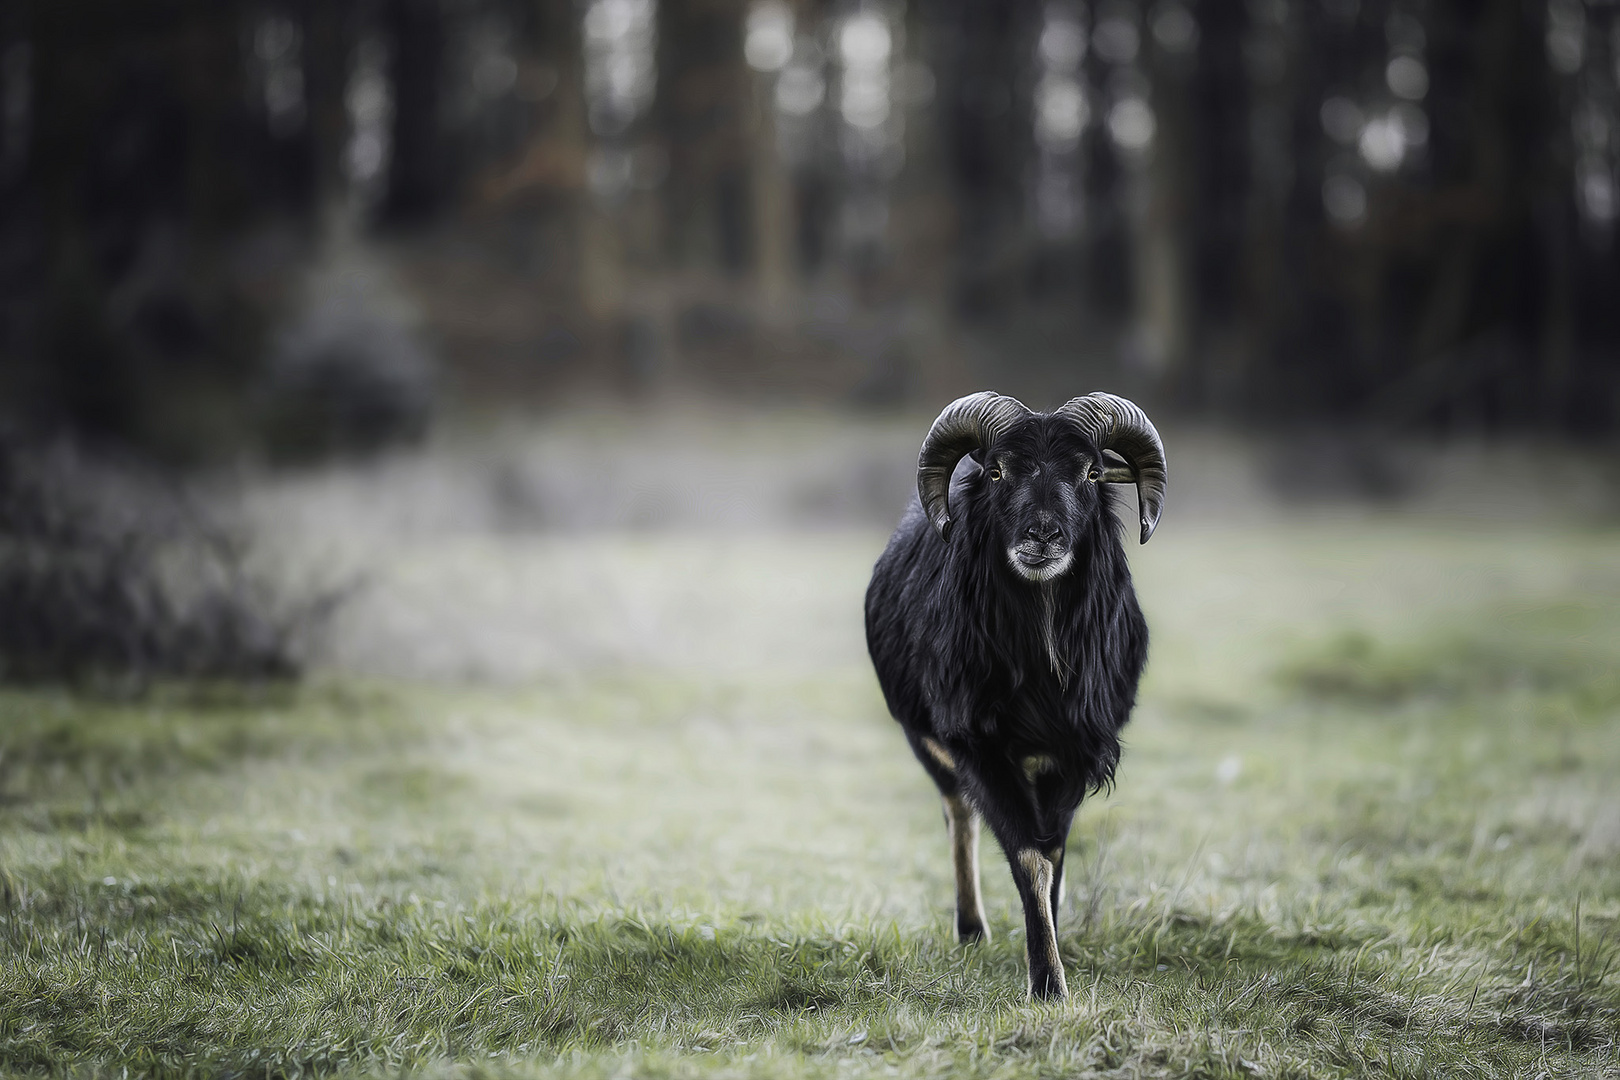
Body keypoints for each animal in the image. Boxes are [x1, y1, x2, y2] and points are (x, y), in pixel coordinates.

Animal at [864, 391, 1166, 1000]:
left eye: (1091, 472)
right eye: (998, 470)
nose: (1042, 536)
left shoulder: (1071, 755)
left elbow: (1053, 853)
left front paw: (1053, 947)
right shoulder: (979, 748)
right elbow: (1028, 856)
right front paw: (1048, 985)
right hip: (927, 744)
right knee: (959, 816)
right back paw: (971, 931)